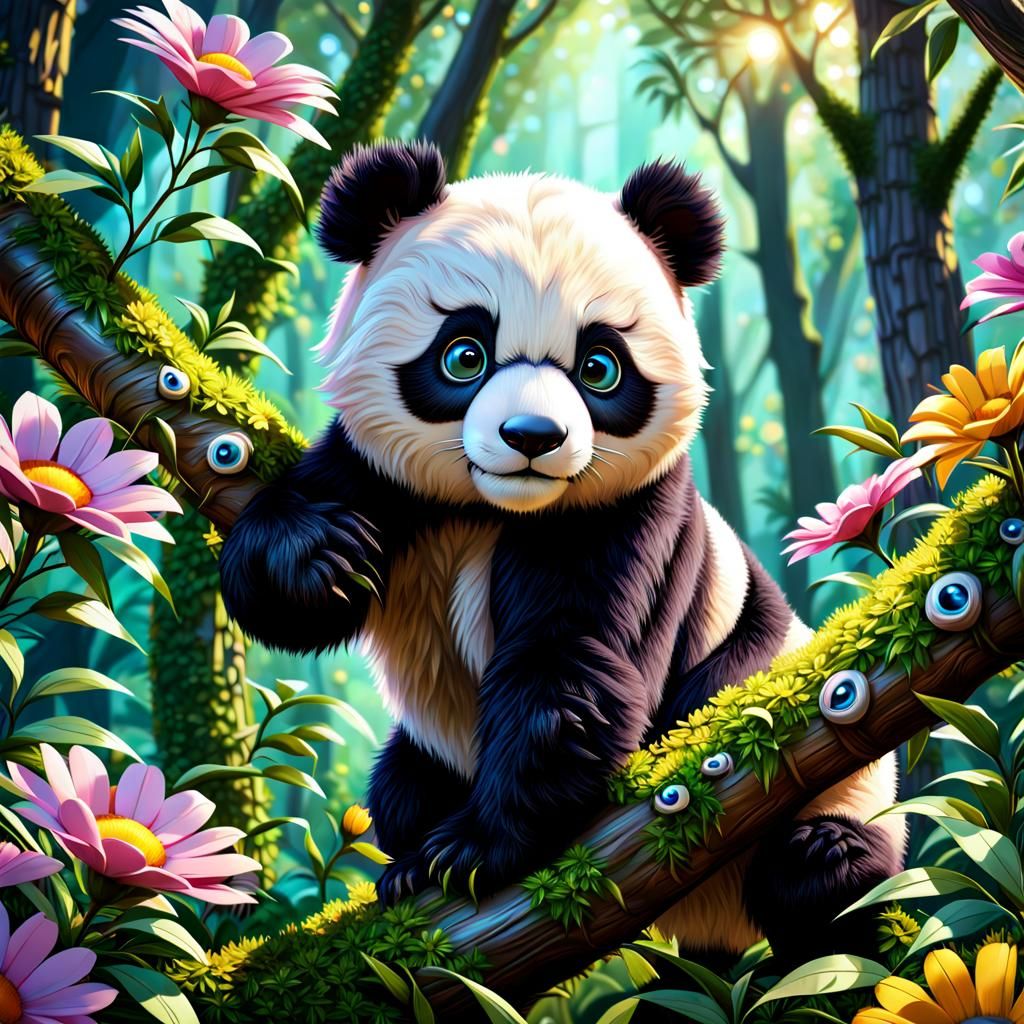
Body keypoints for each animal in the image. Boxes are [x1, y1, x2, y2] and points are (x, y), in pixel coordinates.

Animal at [219, 140, 904, 966]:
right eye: (463, 356)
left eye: (599, 366)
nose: (532, 437)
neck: (490, 511)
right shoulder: (375, 474)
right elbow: (286, 575)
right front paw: (321, 559)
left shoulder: (627, 518)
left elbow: (571, 664)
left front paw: (472, 851)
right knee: (398, 788)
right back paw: (410, 838)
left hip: (845, 787)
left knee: (828, 871)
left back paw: (822, 883)